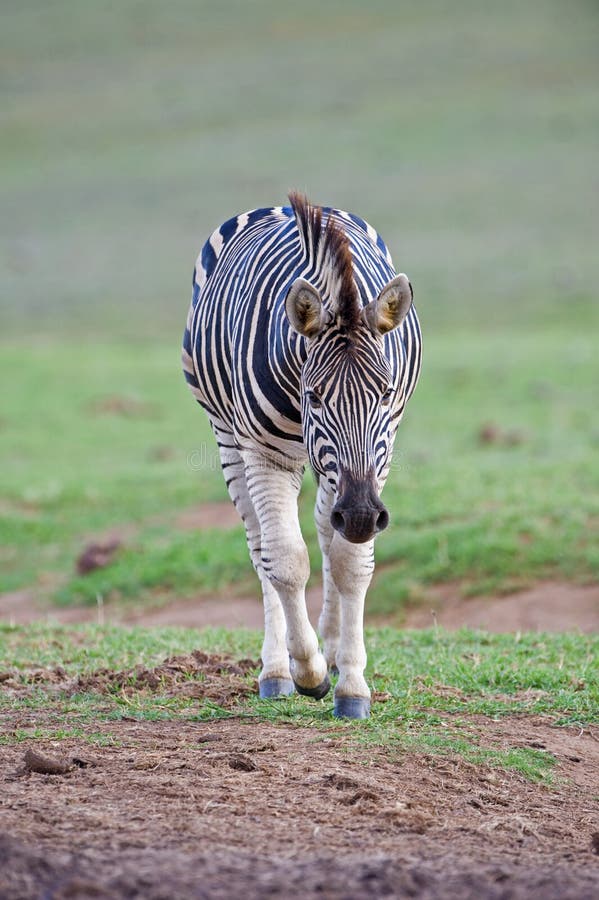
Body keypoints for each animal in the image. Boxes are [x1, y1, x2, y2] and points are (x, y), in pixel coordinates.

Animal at [182, 193, 421, 718]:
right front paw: (308, 671)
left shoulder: (379, 458)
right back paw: (278, 669)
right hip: (227, 436)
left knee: (326, 531)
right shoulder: (262, 453)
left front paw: (351, 682)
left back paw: (330, 644)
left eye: (386, 392)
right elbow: (285, 559)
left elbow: (350, 562)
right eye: (315, 396)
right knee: (261, 546)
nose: (361, 514)